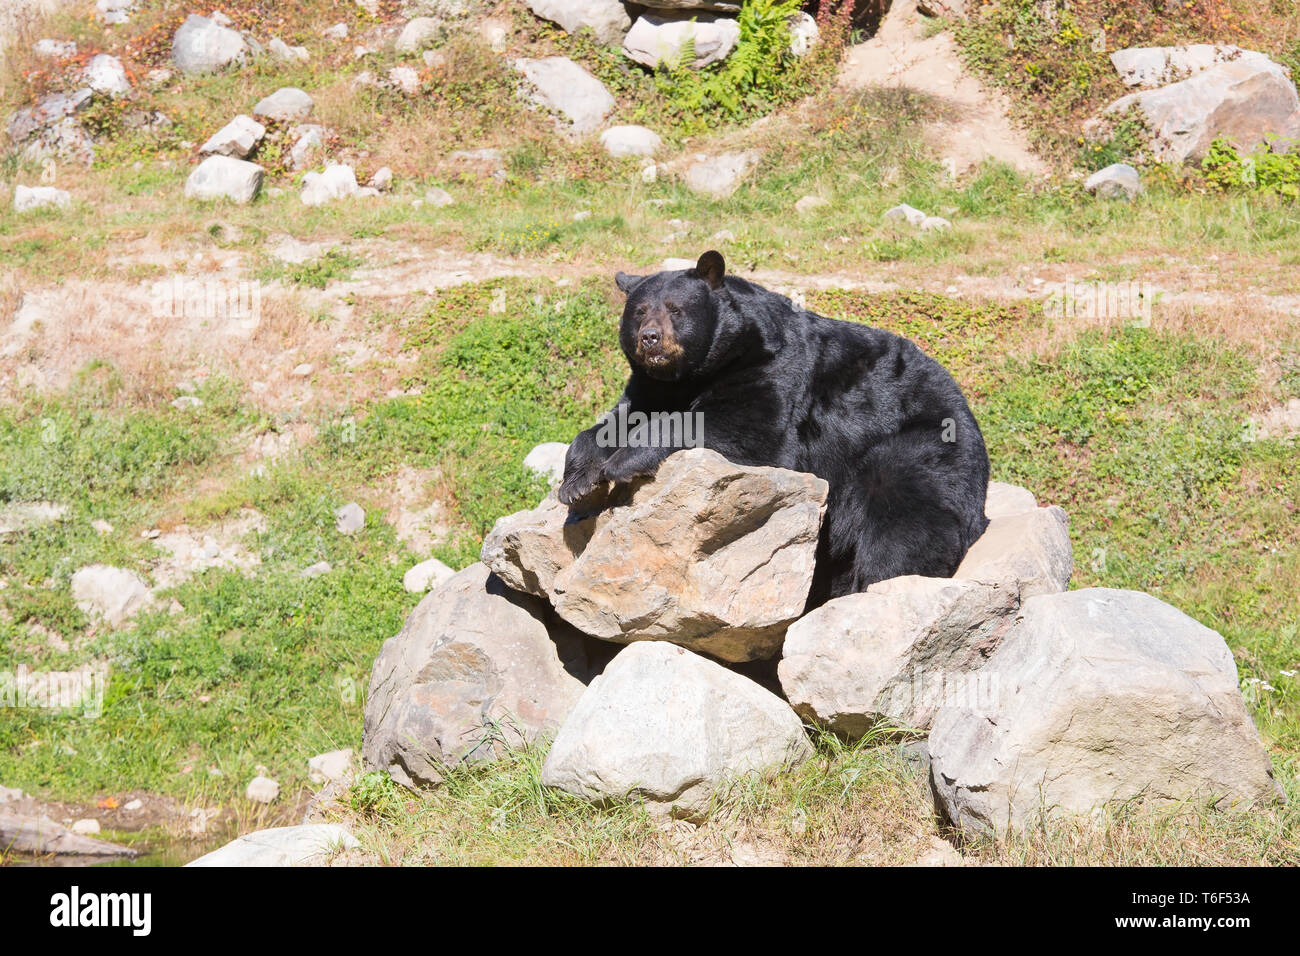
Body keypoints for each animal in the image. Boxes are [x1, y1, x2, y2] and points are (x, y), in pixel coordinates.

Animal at [558, 250, 990, 610]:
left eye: (676, 310)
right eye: (639, 311)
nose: (650, 338)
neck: (695, 371)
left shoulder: (773, 367)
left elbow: (750, 430)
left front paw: (624, 461)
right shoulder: (652, 386)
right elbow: (612, 422)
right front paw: (576, 482)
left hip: (921, 448)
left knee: (901, 520)